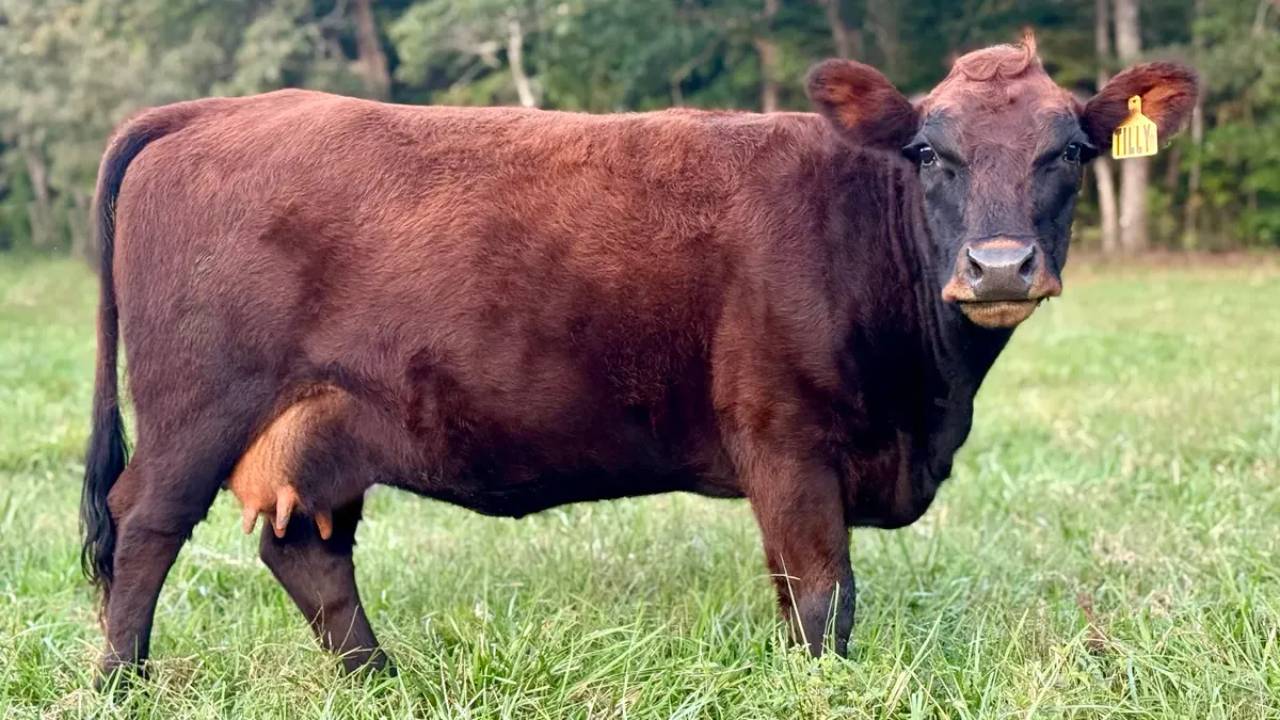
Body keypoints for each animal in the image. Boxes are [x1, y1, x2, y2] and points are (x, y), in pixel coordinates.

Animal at [80, 34, 1196, 682]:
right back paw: (122, 683)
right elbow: (822, 597)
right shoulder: (786, 442)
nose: (998, 265)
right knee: (143, 531)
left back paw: (383, 680)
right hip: (198, 411)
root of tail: (220, 109)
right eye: (931, 151)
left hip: (321, 425)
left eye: (1068, 151)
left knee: (307, 551)